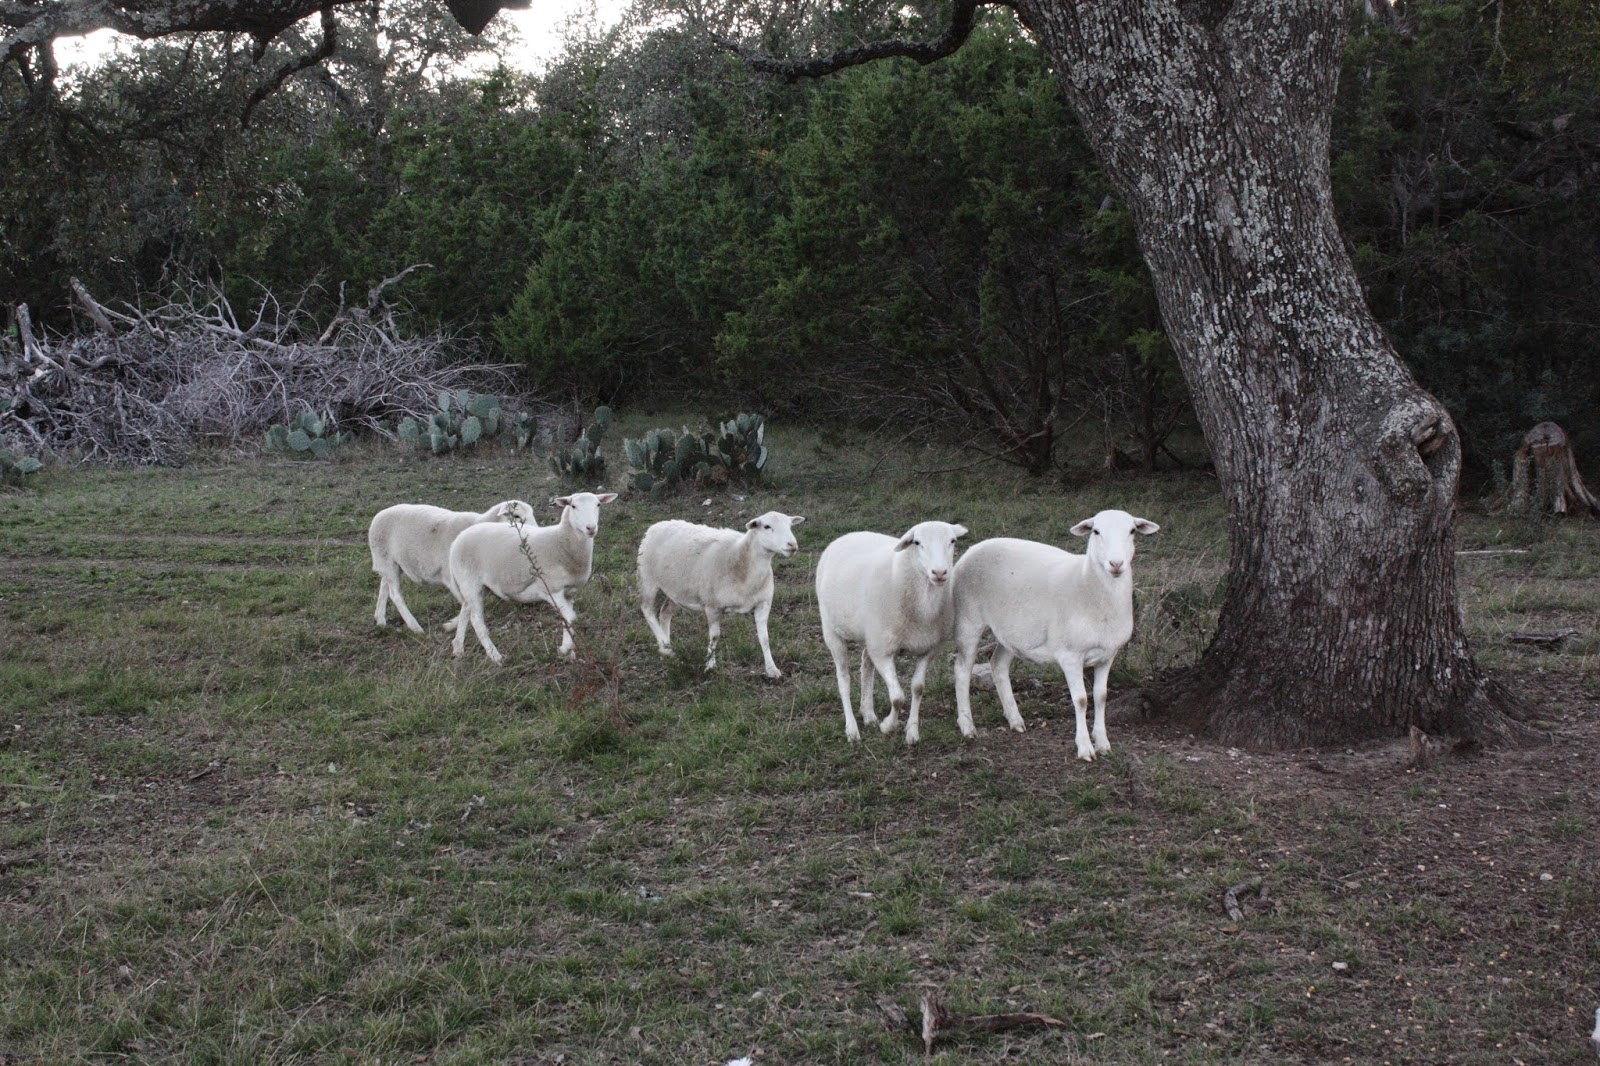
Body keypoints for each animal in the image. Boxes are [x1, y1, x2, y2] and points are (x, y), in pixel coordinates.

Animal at [368, 499, 537, 633]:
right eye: (516, 516)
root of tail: (378, 516)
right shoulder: (454, 577)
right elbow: (466, 604)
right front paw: (452, 625)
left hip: (391, 563)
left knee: (384, 586)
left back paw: (380, 619)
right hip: (386, 559)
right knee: (395, 594)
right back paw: (415, 627)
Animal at [447, 491, 618, 664]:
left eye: (598, 505)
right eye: (573, 506)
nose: (591, 528)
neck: (561, 541)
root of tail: (458, 539)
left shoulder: (570, 593)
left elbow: (567, 620)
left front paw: (570, 652)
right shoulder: (551, 590)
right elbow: (571, 617)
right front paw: (564, 649)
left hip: (479, 586)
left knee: (465, 611)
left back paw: (458, 648)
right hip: (470, 581)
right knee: (476, 620)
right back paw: (494, 655)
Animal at [637, 512, 806, 679]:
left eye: (790, 526)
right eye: (767, 526)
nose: (792, 545)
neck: (743, 560)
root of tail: (656, 525)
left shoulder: (763, 603)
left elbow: (764, 638)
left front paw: (772, 669)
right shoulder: (712, 606)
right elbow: (715, 636)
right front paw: (710, 666)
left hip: (676, 591)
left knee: (664, 613)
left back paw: (667, 647)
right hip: (647, 578)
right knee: (647, 610)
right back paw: (664, 647)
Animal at [815, 520, 968, 745]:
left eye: (953, 541)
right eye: (916, 542)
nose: (939, 573)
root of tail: (847, 535)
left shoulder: (929, 649)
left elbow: (918, 688)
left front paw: (912, 732)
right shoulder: (883, 651)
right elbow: (897, 697)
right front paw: (888, 726)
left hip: (870, 635)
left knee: (865, 665)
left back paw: (868, 713)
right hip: (832, 630)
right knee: (843, 678)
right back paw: (852, 729)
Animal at [951, 509, 1159, 761]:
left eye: (1132, 531)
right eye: (1096, 531)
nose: (1116, 563)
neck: (1087, 585)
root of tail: (973, 548)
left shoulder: (1107, 655)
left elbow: (1101, 696)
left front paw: (1102, 743)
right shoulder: (1069, 654)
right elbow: (1081, 699)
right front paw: (1085, 747)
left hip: (1013, 632)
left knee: (998, 664)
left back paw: (1015, 720)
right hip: (968, 620)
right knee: (962, 669)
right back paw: (967, 727)